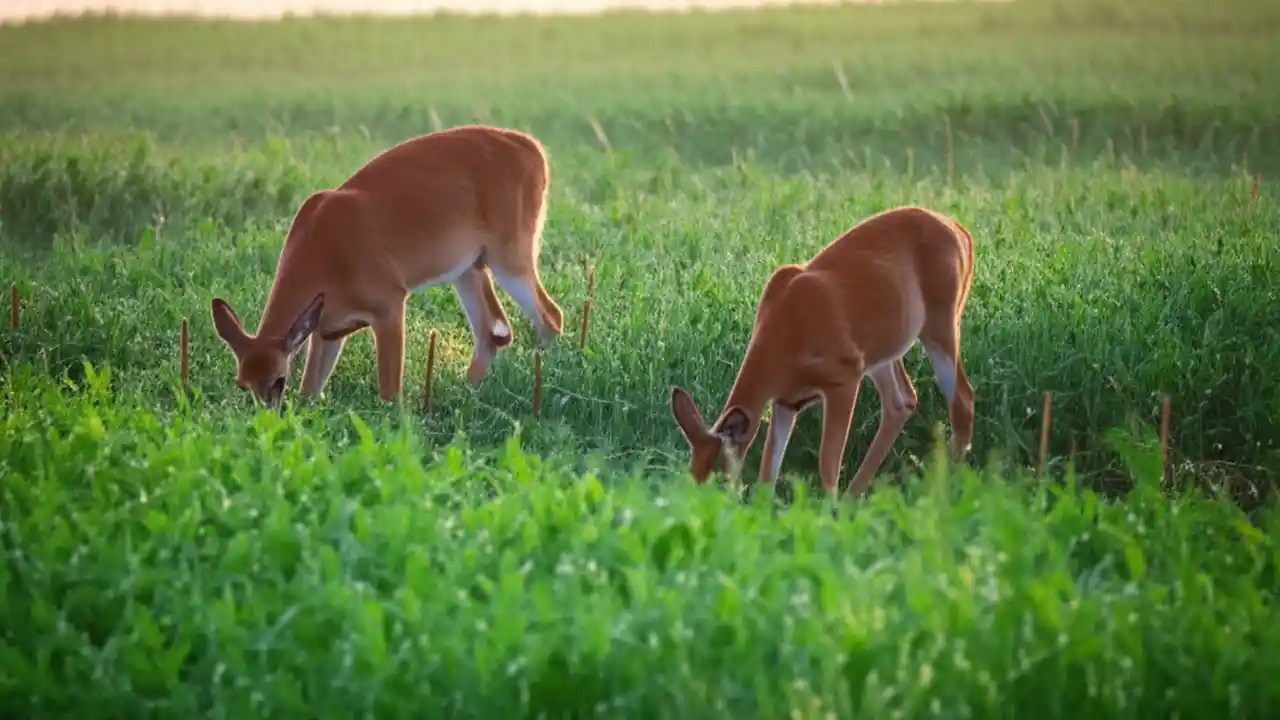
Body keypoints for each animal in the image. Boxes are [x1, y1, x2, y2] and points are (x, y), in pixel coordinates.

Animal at [210, 125, 565, 408]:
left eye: (279, 379)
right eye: (243, 385)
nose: (267, 417)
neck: (324, 260)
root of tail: (532, 148)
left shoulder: (389, 299)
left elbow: (389, 389)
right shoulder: (327, 329)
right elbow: (311, 389)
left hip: (510, 251)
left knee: (550, 315)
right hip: (467, 267)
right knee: (492, 330)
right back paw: (465, 393)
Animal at [669, 205, 976, 500]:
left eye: (720, 478)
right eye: (693, 476)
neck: (784, 342)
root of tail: (961, 231)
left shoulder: (844, 376)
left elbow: (827, 465)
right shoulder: (786, 401)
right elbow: (768, 473)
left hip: (942, 321)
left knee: (962, 398)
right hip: (882, 351)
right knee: (902, 400)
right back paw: (855, 497)